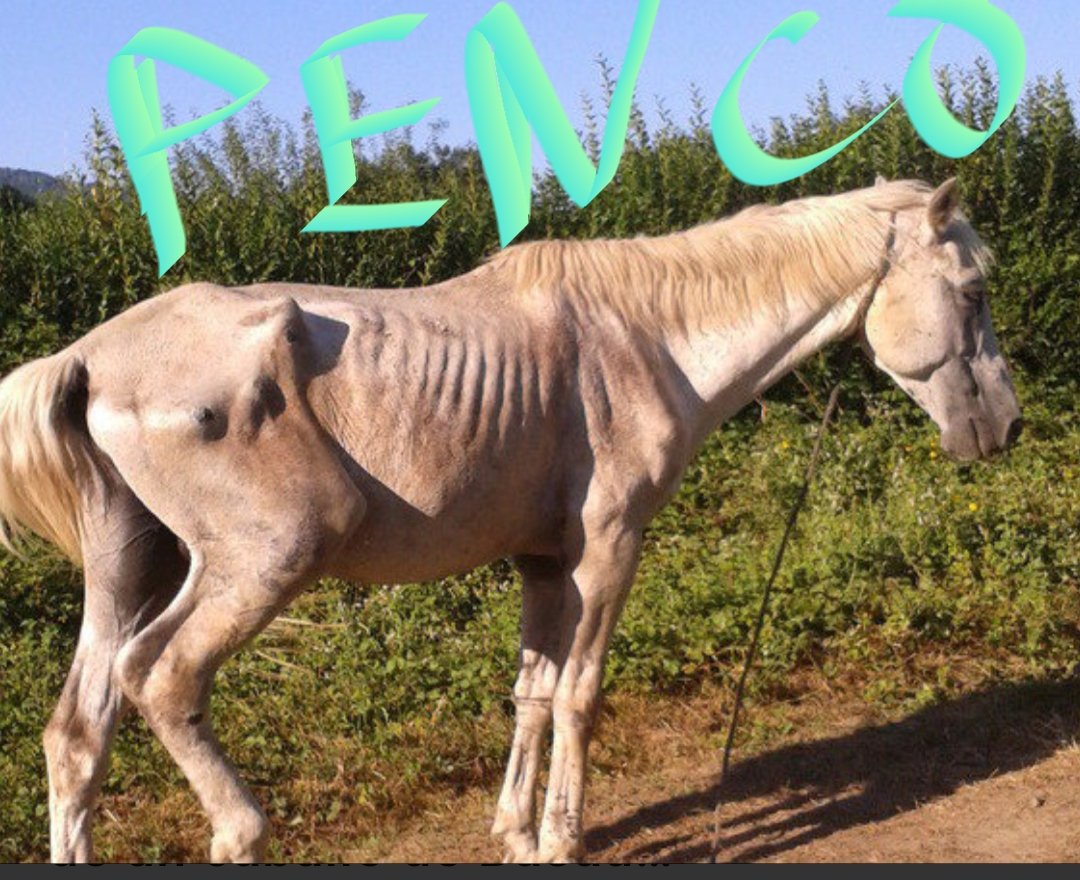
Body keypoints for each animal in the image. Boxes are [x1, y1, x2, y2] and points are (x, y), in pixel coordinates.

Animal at [0, 177, 1022, 863]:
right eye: (972, 293)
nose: (1005, 427)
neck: (640, 336)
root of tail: (89, 357)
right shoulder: (610, 549)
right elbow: (580, 695)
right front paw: (564, 840)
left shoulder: (541, 562)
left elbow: (531, 693)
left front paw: (517, 834)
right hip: (261, 561)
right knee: (161, 679)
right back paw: (242, 827)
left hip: (133, 569)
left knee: (79, 734)